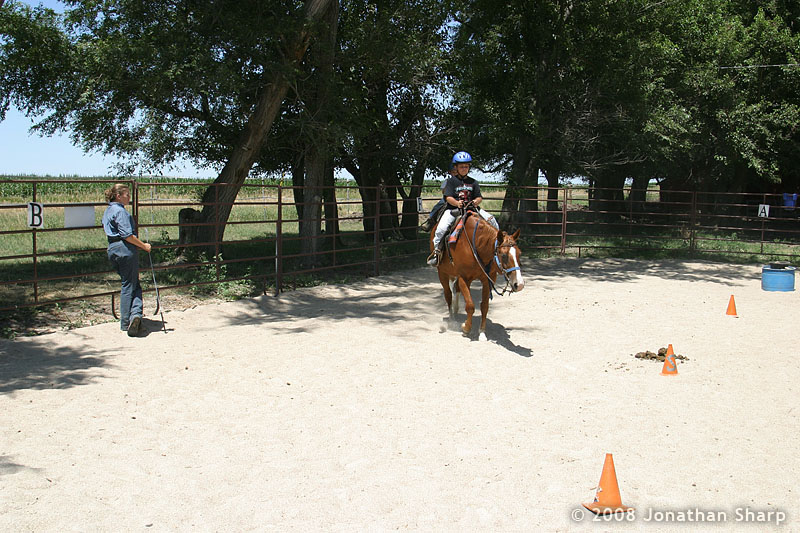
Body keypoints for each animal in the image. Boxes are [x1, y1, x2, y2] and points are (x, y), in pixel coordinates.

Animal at [431, 210, 524, 340]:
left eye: (519, 253)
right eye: (504, 255)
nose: (519, 284)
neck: (477, 246)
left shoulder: (487, 279)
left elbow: (484, 306)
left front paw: (482, 332)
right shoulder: (464, 278)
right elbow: (470, 306)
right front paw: (466, 328)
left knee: (456, 290)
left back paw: (456, 310)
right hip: (442, 272)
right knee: (448, 294)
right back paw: (452, 320)